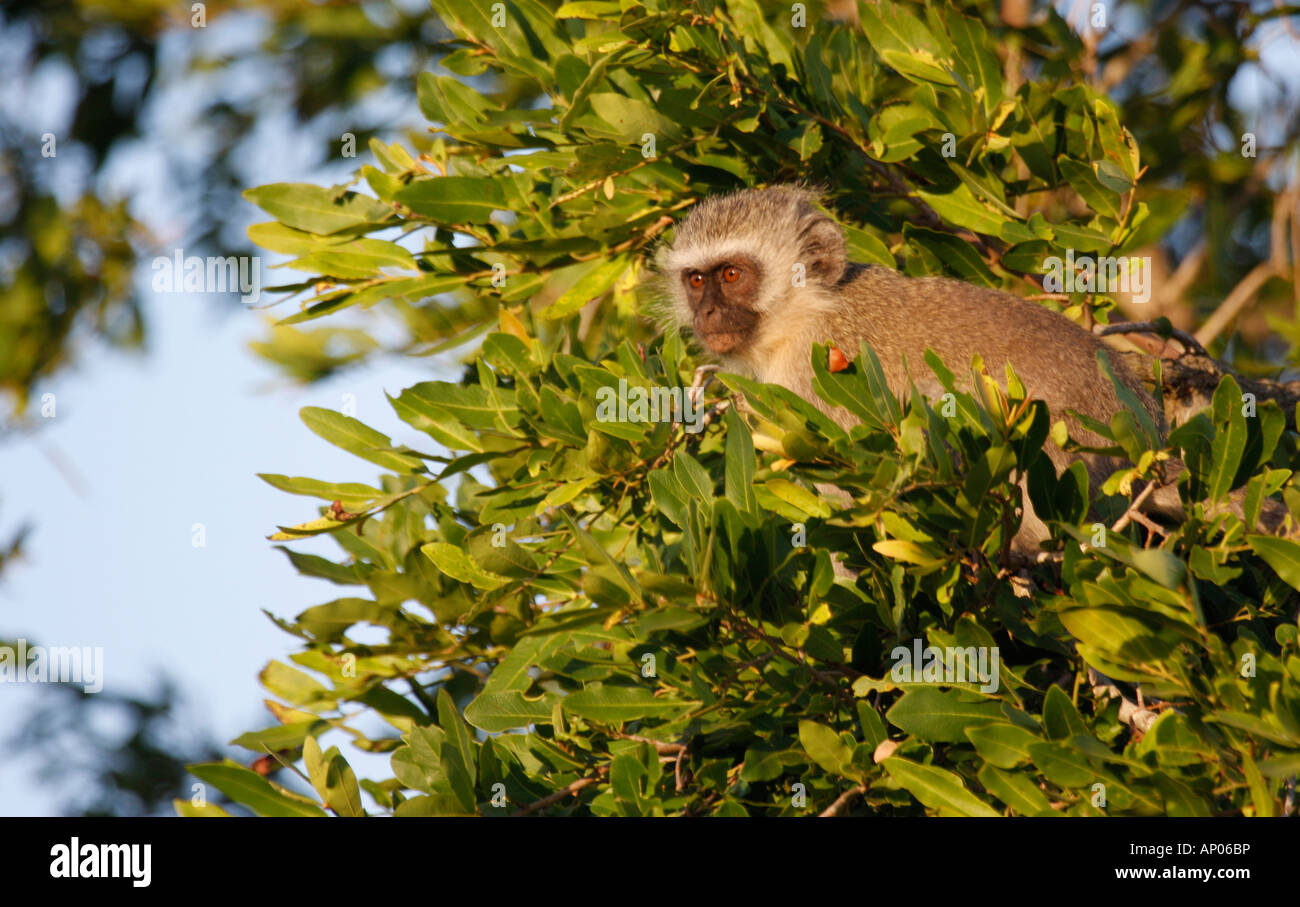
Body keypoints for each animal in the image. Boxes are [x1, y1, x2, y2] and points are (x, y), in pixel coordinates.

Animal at [652, 184, 1270, 554]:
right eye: (697, 280)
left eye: (732, 275)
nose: (708, 313)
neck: (804, 314)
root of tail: (1145, 447)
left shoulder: (816, 380)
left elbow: (848, 499)